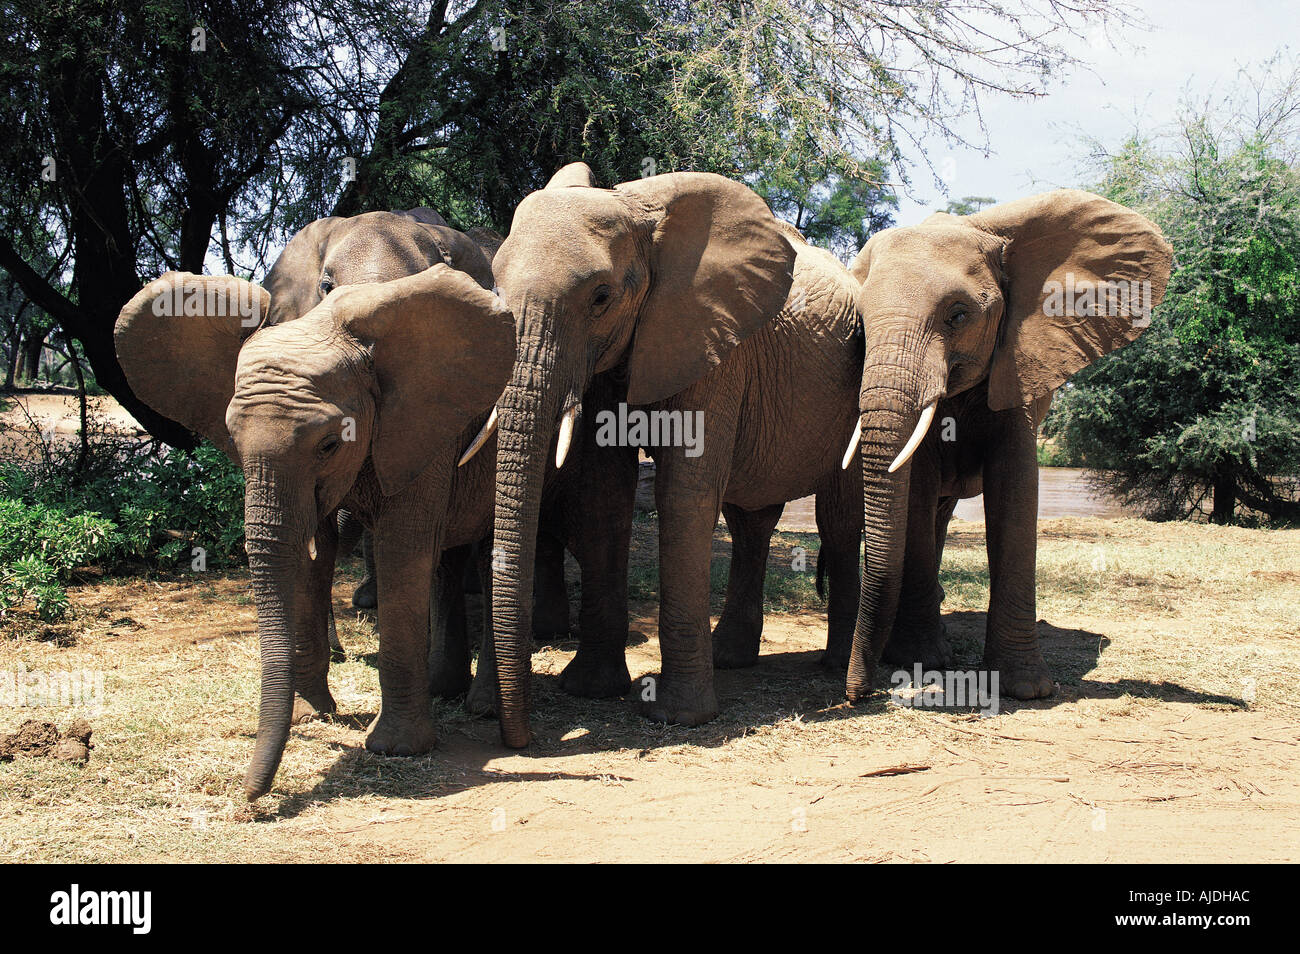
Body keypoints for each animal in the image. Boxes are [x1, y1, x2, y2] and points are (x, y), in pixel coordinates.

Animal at [487, 163, 868, 747]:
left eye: (600, 297)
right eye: (493, 283)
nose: (524, 739)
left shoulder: (714, 344)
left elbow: (683, 495)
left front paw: (676, 718)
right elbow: (604, 496)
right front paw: (591, 691)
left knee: (840, 519)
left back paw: (832, 670)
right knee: (750, 520)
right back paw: (732, 659)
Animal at [842, 189, 1173, 704]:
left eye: (958, 315)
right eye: (859, 324)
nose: (857, 694)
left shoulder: (1020, 364)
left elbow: (1016, 483)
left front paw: (1027, 689)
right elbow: (918, 482)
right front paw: (921, 661)